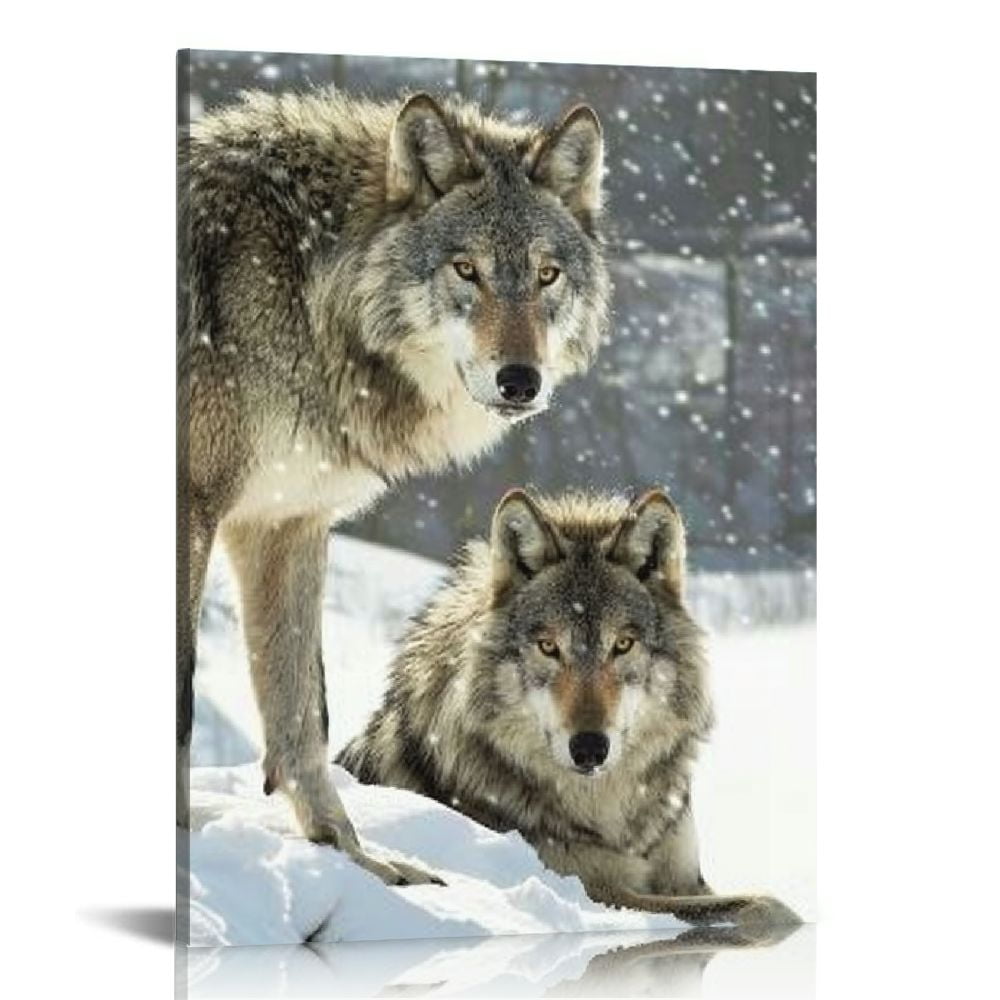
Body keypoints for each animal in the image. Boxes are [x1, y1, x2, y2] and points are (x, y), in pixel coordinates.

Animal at [177, 89, 610, 884]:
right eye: (466, 269)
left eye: (546, 275)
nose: (521, 380)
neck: (302, 285)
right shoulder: (195, 505)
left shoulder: (283, 520)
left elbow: (303, 712)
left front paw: (353, 858)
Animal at [338, 488, 800, 936]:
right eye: (548, 647)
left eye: (622, 645)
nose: (590, 748)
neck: (612, 818)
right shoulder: (595, 890)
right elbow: (768, 907)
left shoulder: (685, 877)